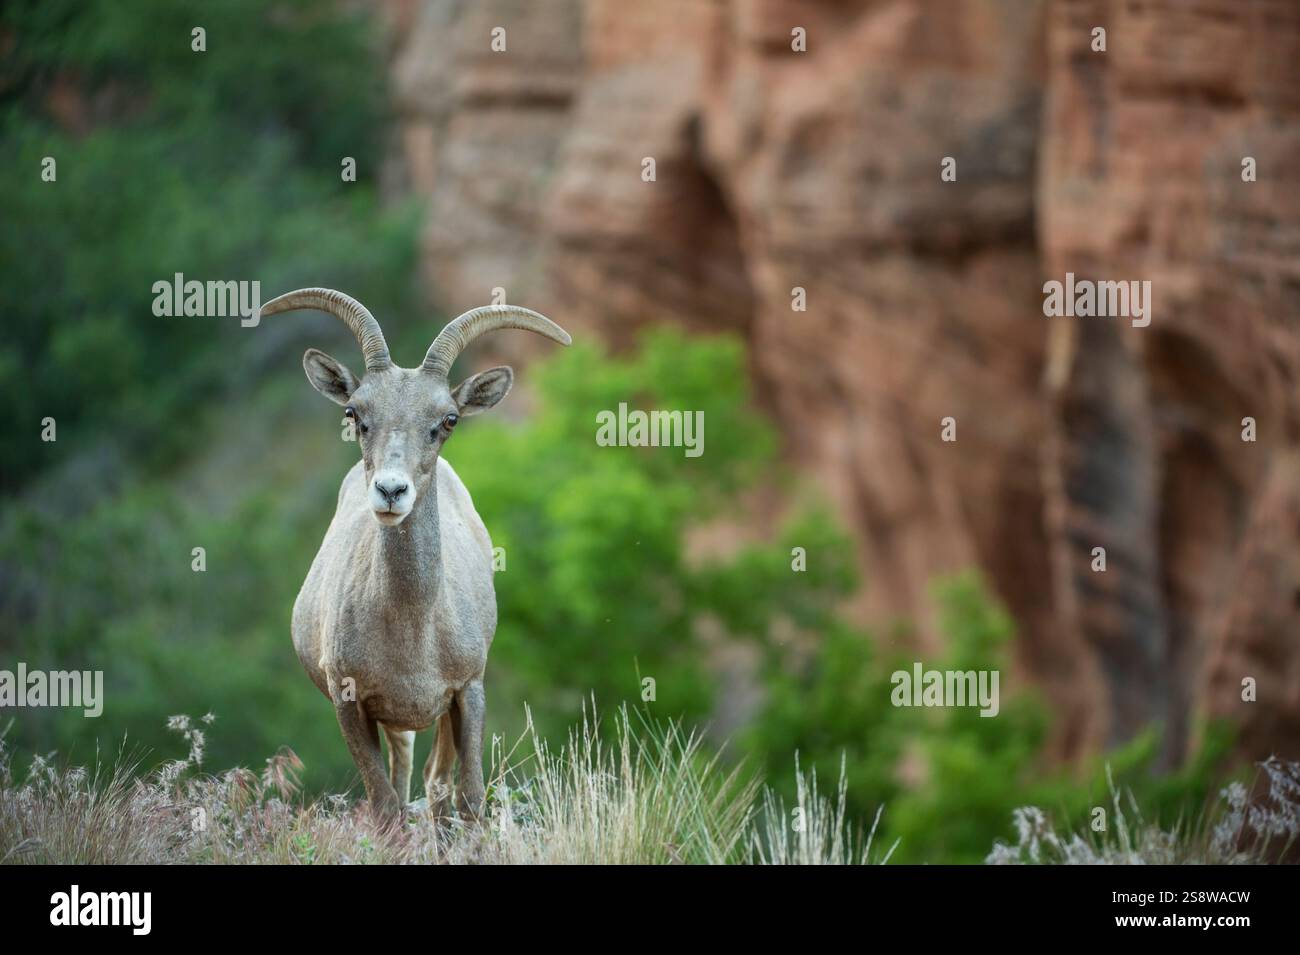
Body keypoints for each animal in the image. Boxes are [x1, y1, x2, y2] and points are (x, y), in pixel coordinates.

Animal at [259, 288, 571, 824]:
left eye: (447, 420)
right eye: (354, 414)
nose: (390, 490)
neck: (412, 632)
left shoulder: (467, 692)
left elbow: (469, 798)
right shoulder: (351, 703)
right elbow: (385, 805)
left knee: (435, 782)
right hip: (397, 724)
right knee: (405, 778)